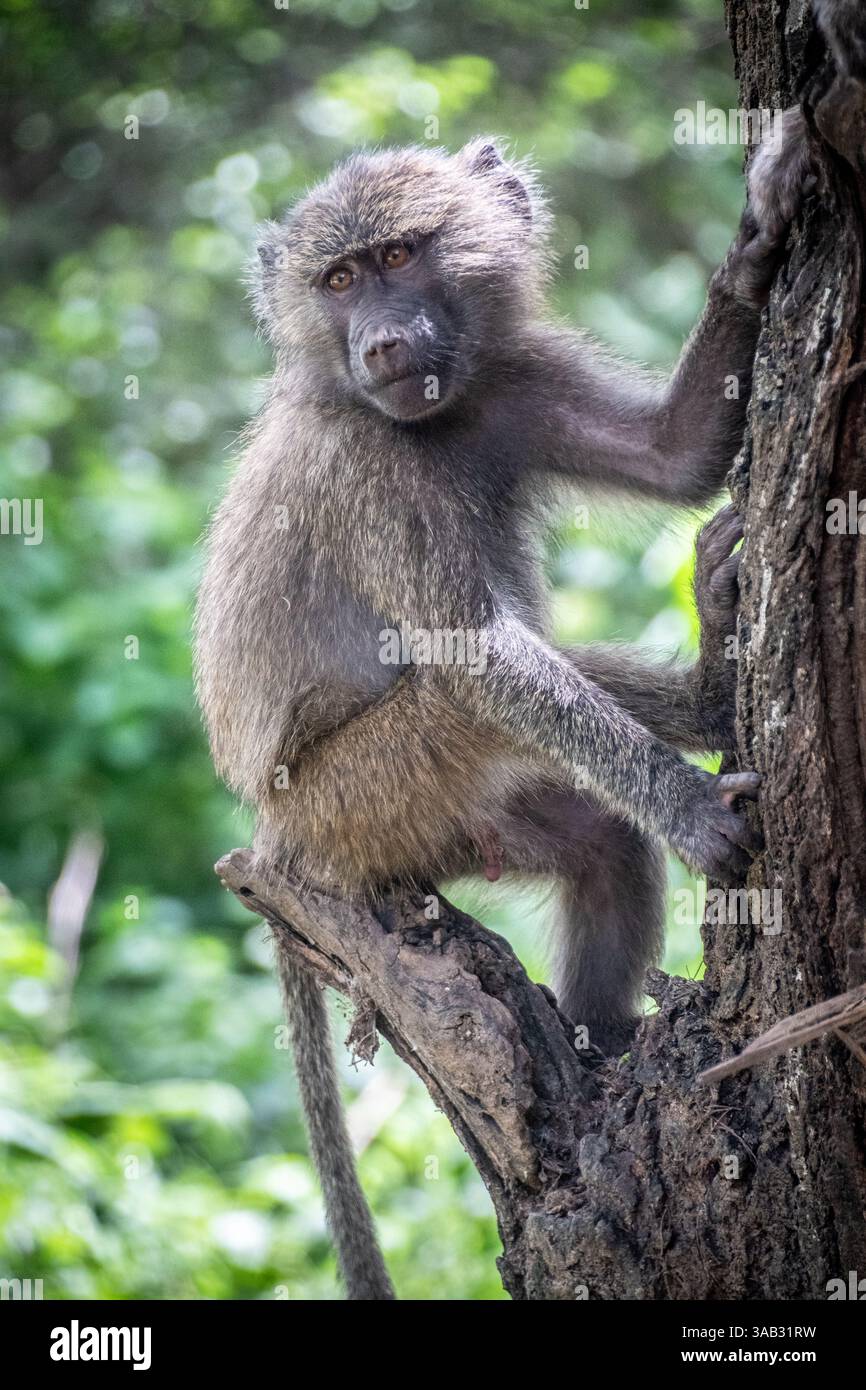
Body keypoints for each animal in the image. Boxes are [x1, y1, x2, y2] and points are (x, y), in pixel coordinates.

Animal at [194, 107, 815, 1299]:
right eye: (336, 279)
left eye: (399, 256)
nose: (382, 348)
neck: (419, 417)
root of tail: (274, 833)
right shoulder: (364, 469)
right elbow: (475, 654)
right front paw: (690, 808)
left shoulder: (511, 378)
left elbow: (674, 458)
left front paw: (759, 233)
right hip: (358, 795)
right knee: (457, 695)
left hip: (433, 830)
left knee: (597, 845)